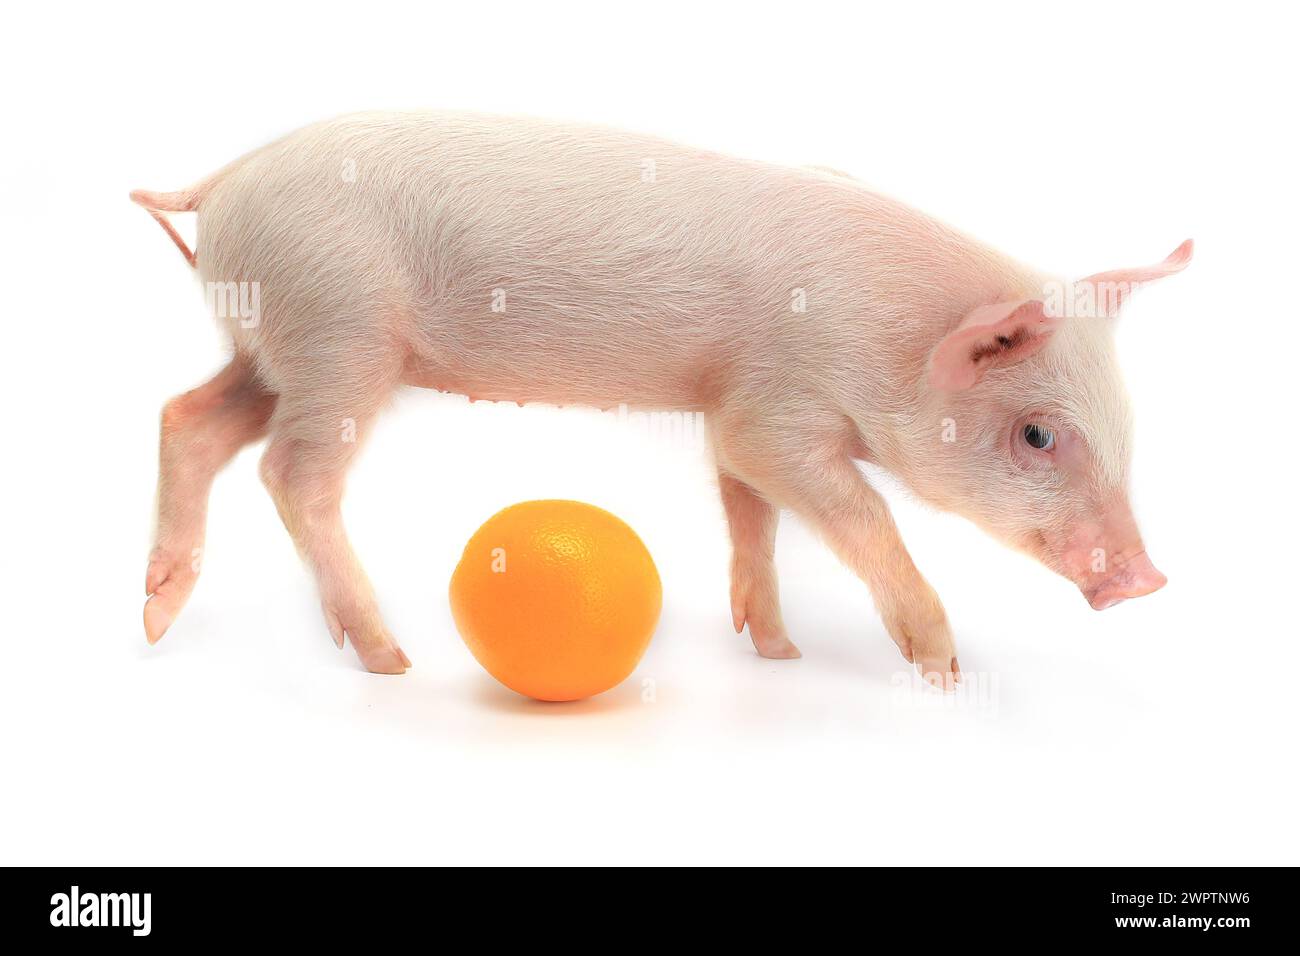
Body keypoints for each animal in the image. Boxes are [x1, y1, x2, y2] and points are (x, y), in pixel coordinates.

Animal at [133, 111, 1191, 688]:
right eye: (1038, 435)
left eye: (1127, 428)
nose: (1148, 579)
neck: (884, 334)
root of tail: (226, 179)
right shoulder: (776, 411)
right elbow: (854, 511)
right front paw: (943, 672)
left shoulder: (730, 410)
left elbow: (751, 517)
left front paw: (778, 653)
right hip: (341, 335)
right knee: (290, 473)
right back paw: (389, 658)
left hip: (279, 345)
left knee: (188, 420)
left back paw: (157, 618)